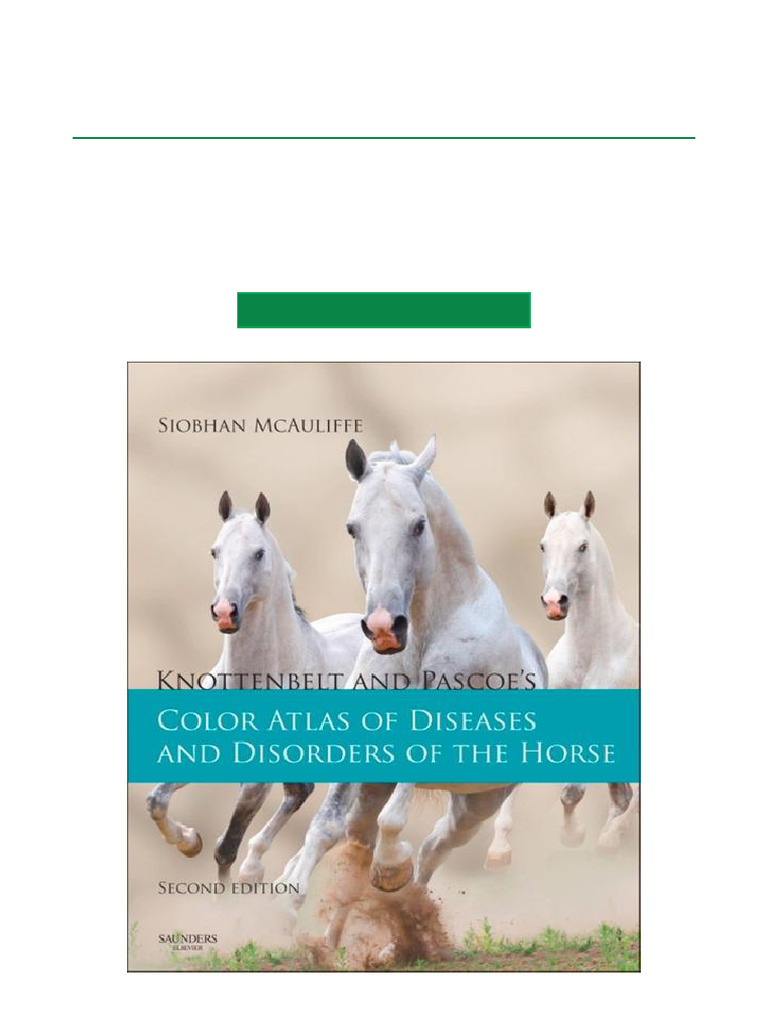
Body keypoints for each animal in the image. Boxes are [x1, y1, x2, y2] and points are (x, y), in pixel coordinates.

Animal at [146, 489, 364, 883]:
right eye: (214, 551)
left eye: (258, 553)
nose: (225, 611)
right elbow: (157, 800)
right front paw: (189, 842)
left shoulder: (257, 782)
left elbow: (225, 849)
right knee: (301, 793)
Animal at [275, 437, 548, 937]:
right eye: (352, 528)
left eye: (419, 525)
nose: (385, 628)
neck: (426, 633)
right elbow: (326, 827)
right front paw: (289, 901)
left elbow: (394, 821)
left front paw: (389, 870)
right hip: (377, 787)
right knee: (358, 839)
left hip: (477, 806)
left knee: (434, 847)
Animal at [485, 489, 639, 868]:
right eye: (543, 545)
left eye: (582, 546)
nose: (555, 602)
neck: (590, 655)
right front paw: (499, 847)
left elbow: (572, 791)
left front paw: (573, 834)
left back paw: (610, 837)